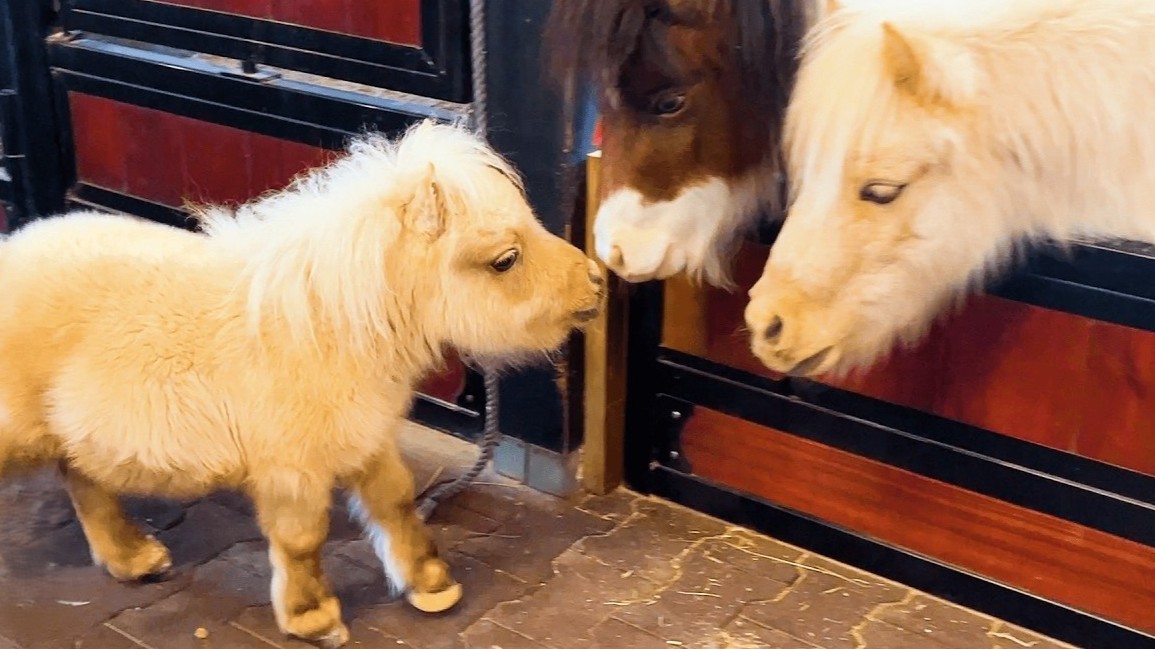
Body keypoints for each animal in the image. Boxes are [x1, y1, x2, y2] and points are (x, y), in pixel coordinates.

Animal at [0, 120, 605, 647]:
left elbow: (394, 502)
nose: (597, 283)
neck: (324, 325)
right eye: (505, 259)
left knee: (82, 479)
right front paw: (313, 618)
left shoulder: (366, 438)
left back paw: (132, 559)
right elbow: (301, 539)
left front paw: (430, 583)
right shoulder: (291, 468)